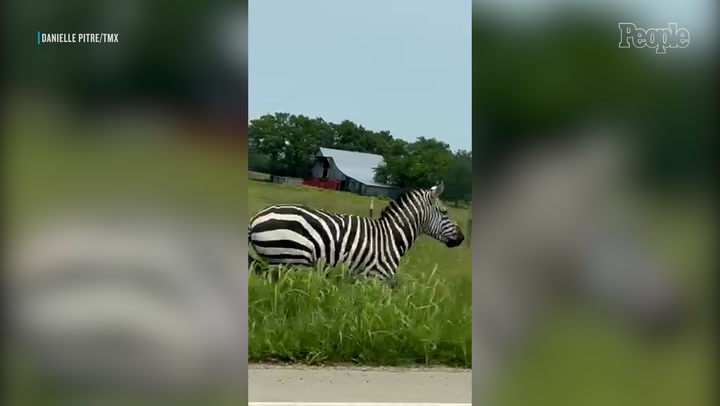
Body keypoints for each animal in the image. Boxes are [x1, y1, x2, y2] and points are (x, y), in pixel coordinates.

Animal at [247, 182, 465, 281]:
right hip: (289, 260)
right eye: (444, 212)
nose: (462, 238)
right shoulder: (377, 277)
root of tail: (255, 218)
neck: (391, 236)